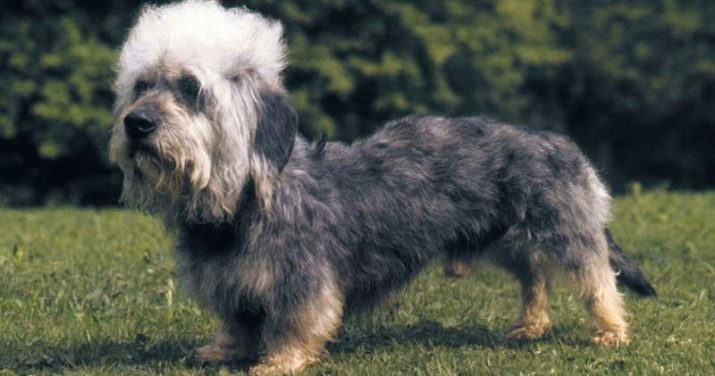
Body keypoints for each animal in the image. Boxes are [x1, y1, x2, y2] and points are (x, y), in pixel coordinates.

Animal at [110, 2, 656, 374]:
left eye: (191, 89)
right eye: (142, 85)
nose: (137, 124)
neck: (244, 199)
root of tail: (559, 142)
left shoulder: (302, 279)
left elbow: (299, 321)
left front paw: (280, 360)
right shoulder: (233, 282)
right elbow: (236, 321)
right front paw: (223, 349)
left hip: (565, 231)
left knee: (598, 277)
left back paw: (611, 331)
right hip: (504, 239)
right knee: (533, 277)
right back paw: (531, 324)